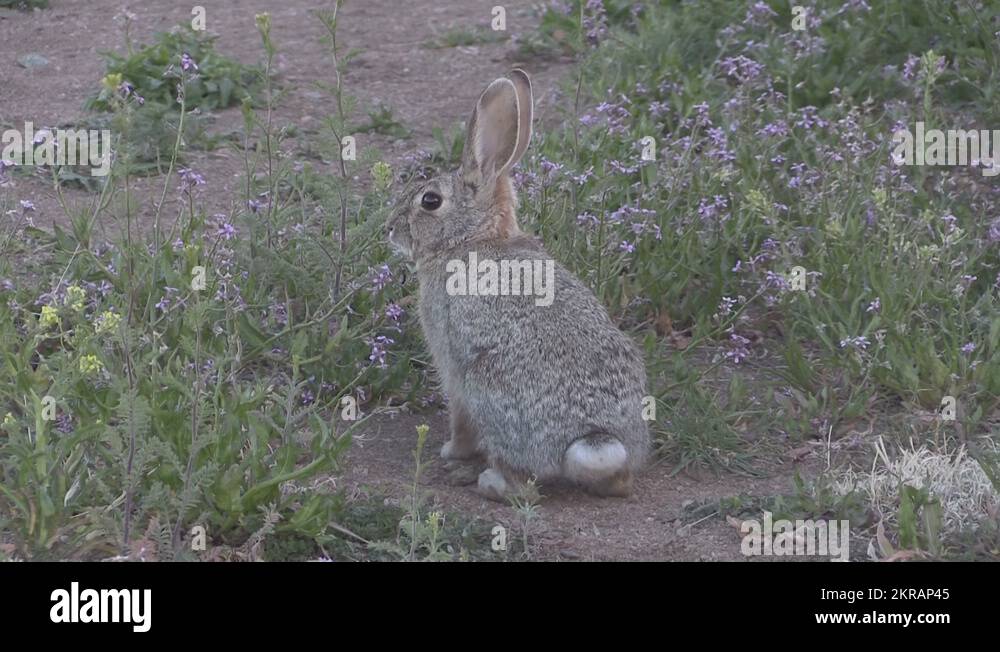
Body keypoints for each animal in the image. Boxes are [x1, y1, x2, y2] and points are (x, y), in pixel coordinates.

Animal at [386, 69, 650, 501]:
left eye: (430, 201)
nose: (391, 229)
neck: (473, 239)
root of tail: (591, 438)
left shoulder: (453, 367)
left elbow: (458, 418)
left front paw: (450, 450)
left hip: (486, 389)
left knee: (524, 487)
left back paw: (489, 481)